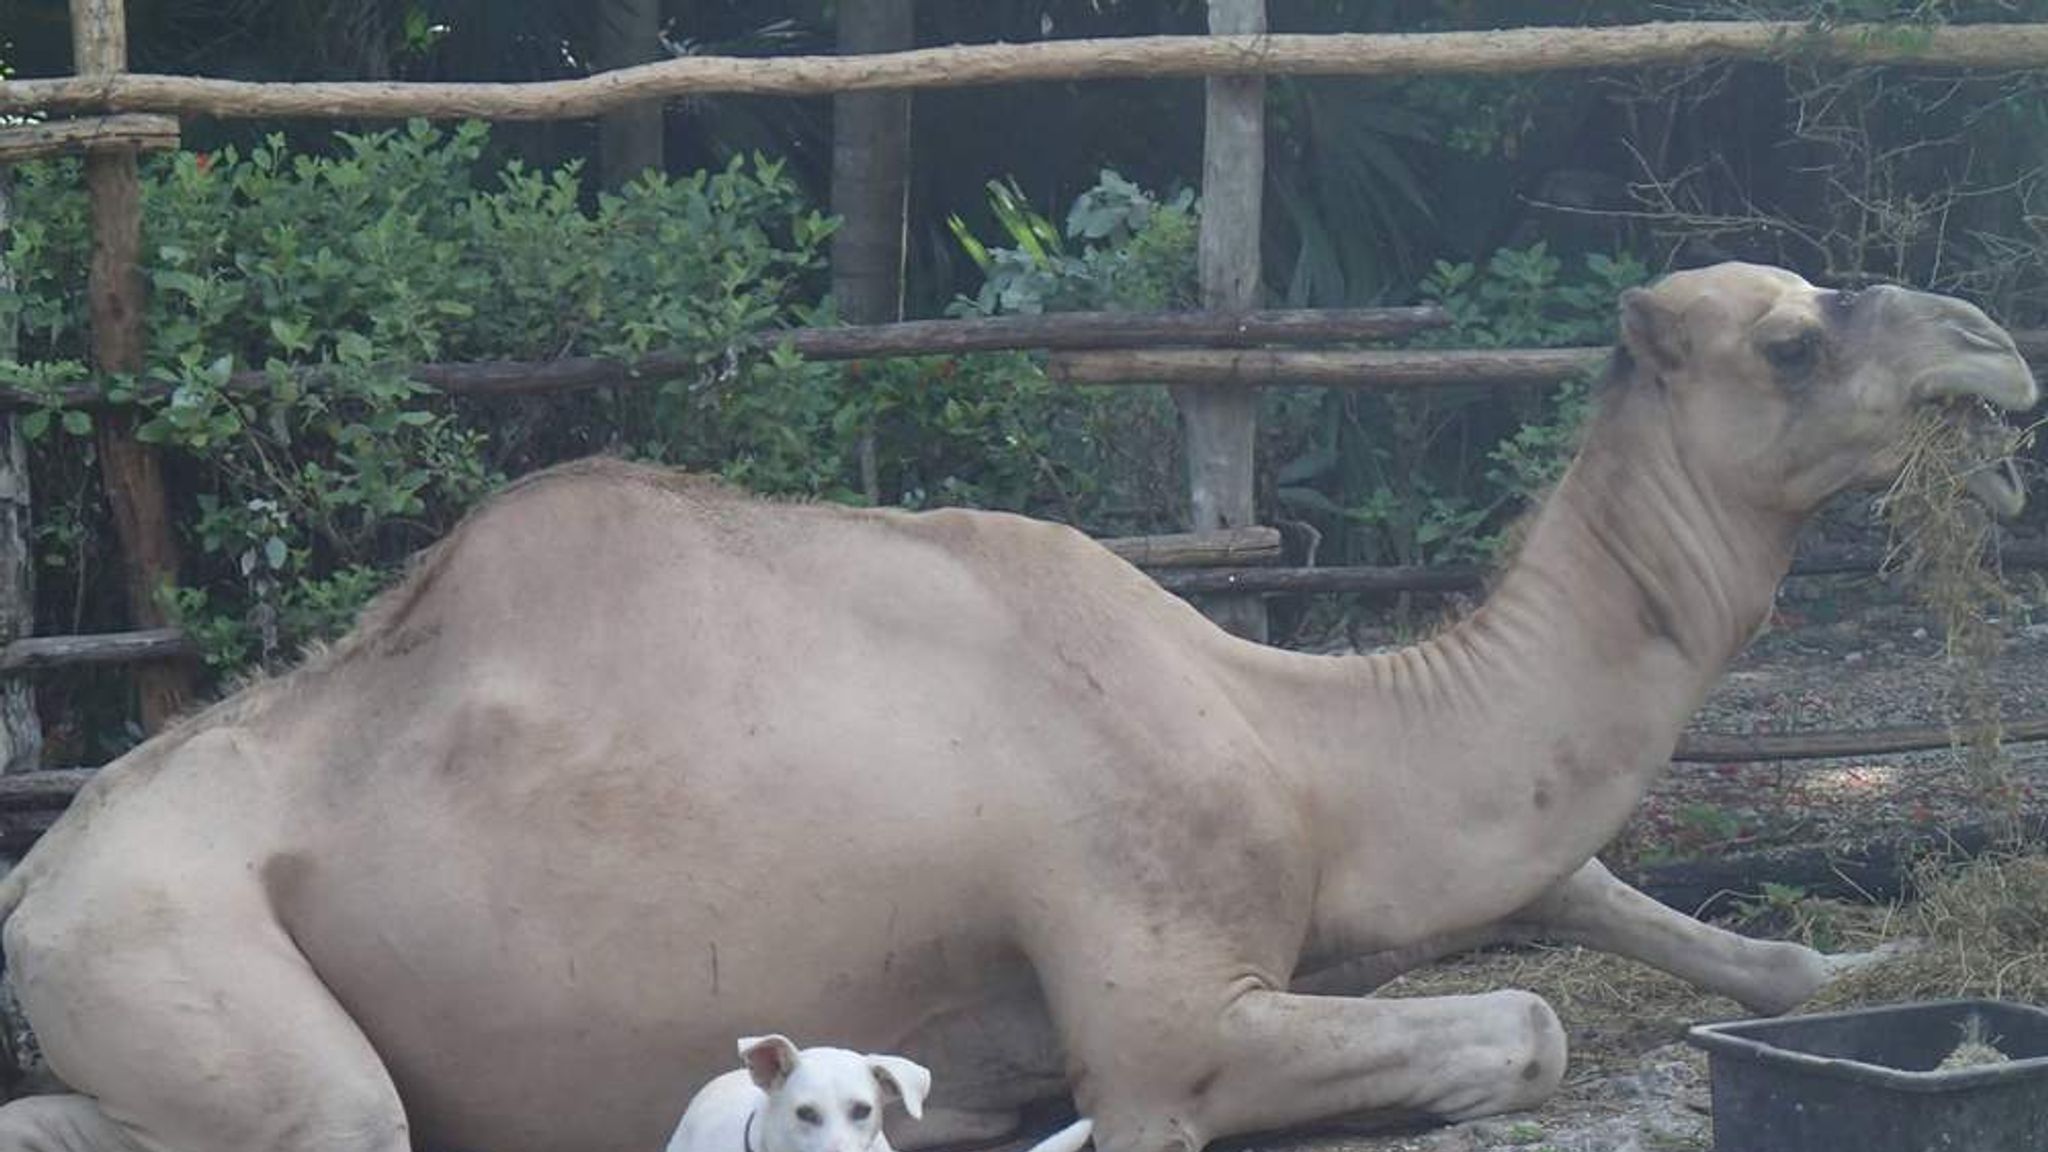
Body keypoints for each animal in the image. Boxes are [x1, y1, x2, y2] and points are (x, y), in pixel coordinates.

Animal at [0, 263, 2033, 1152]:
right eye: (1793, 335)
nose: (1993, 342)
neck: (1304, 736)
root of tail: (36, 875)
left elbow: (1679, 930)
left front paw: (1876, 976)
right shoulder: (1158, 999)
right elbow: (1524, 1023)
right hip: (176, 949)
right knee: (325, 1111)